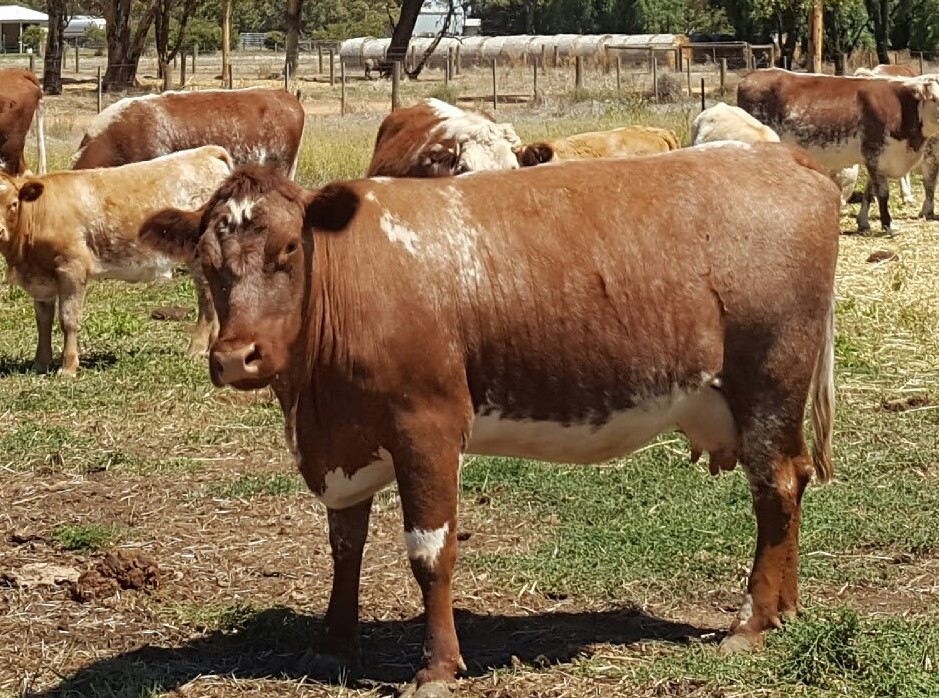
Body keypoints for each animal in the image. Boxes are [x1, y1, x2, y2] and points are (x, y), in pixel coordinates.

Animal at [0, 146, 233, 376]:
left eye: (13, 203)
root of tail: (207, 152)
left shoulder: (72, 268)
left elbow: (68, 319)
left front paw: (68, 367)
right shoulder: (40, 280)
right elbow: (43, 320)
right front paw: (40, 364)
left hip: (199, 257)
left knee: (207, 301)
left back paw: (196, 349)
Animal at [139, 141, 838, 696]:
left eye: (288, 249)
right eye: (206, 262)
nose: (236, 357)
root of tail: (785, 158)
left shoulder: (428, 427)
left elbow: (430, 552)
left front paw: (437, 669)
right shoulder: (344, 441)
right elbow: (344, 544)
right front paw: (333, 646)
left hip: (768, 382)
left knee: (774, 487)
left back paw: (748, 623)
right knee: (794, 479)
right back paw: (787, 609)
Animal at [738, 68, 939, 231]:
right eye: (935, 98)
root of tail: (752, 75)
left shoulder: (875, 159)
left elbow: (870, 192)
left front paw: (864, 222)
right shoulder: (875, 153)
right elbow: (883, 193)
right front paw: (888, 225)